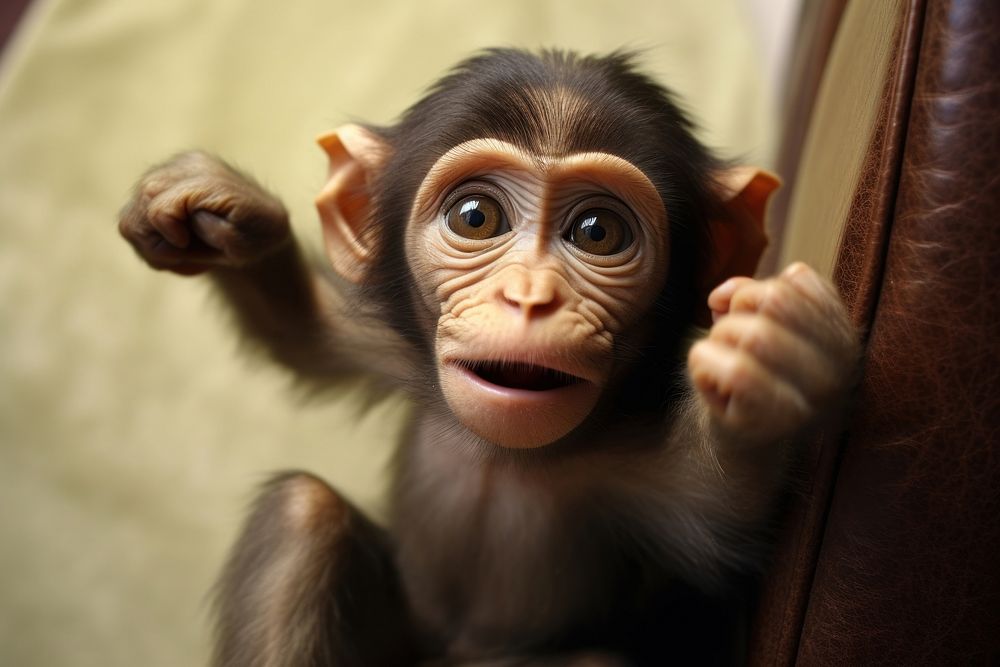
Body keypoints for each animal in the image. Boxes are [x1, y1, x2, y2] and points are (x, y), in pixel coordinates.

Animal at [118, 49, 859, 666]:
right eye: (476, 216)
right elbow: (309, 335)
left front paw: (780, 359)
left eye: (598, 231)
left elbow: (724, 506)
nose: (528, 296)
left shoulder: (642, 472)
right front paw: (223, 205)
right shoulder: (394, 349)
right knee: (304, 513)